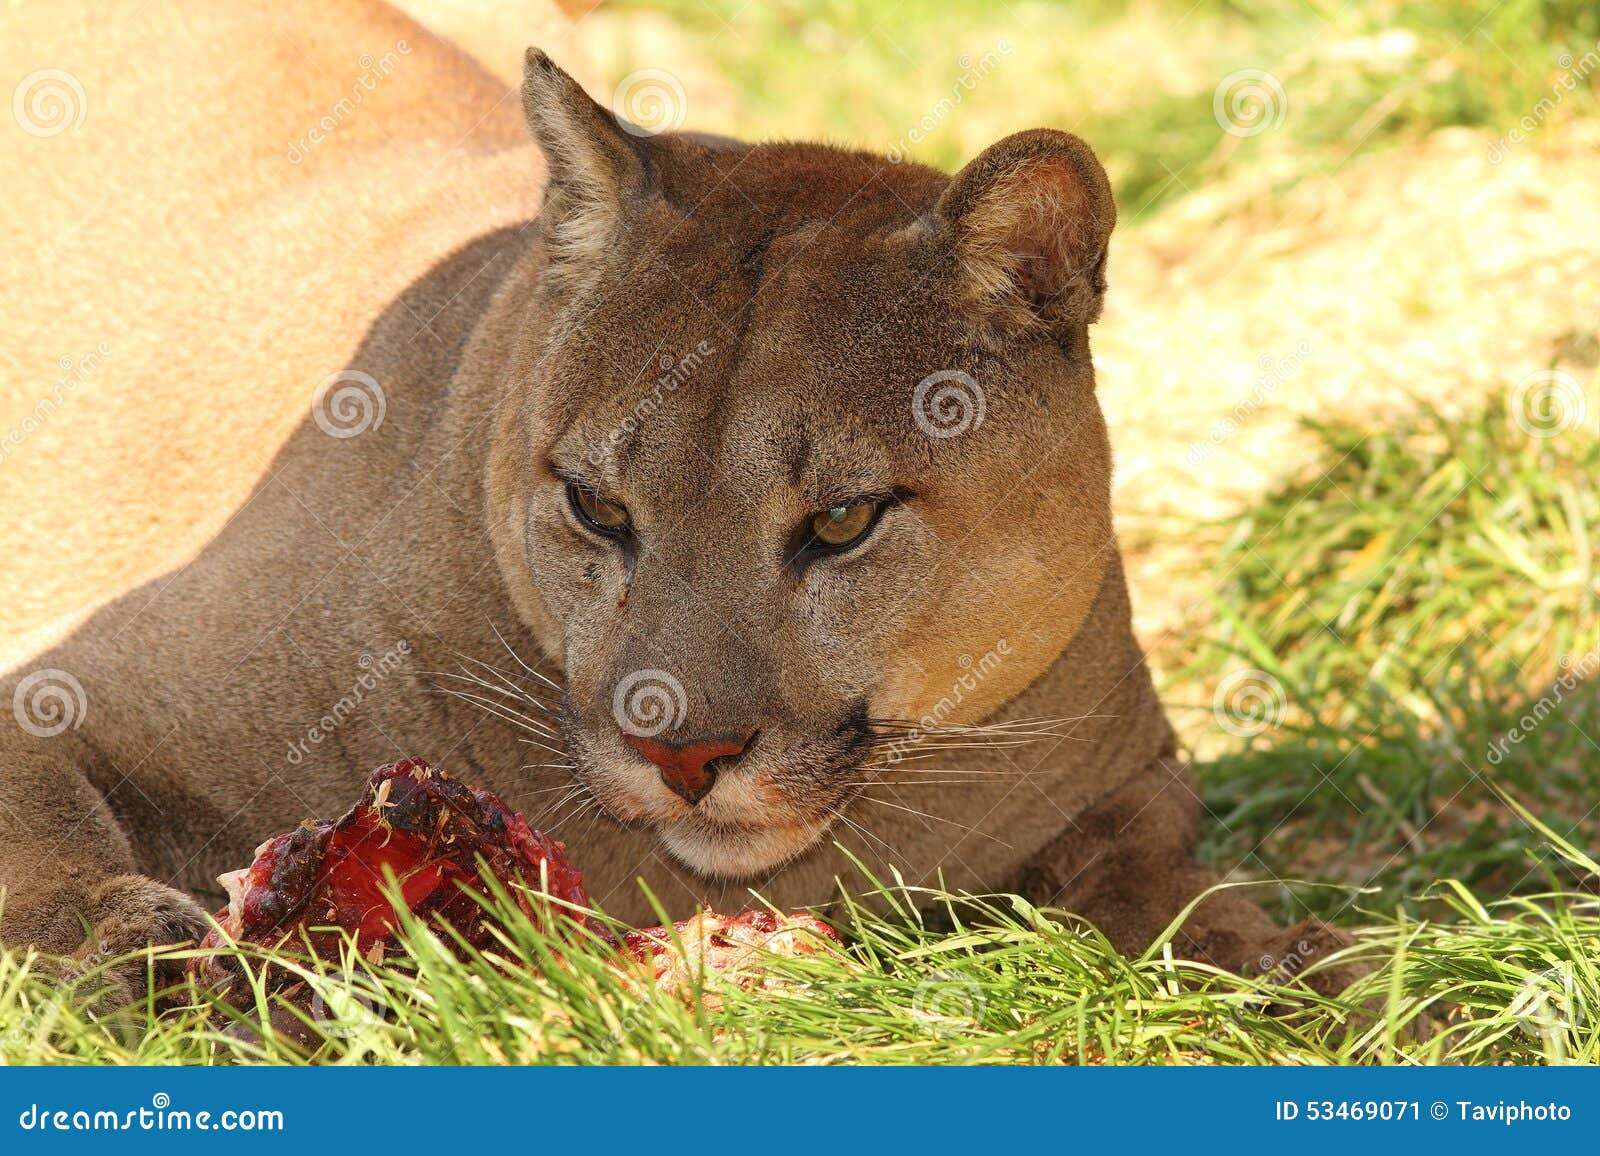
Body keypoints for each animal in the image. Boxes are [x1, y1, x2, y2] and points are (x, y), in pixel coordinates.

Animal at [0, 1, 1345, 999]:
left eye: (842, 521)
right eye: (596, 506)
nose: (680, 751)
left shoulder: (1129, 781)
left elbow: (1156, 888)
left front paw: (1280, 965)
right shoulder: (63, 681)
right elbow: (40, 817)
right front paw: (124, 947)